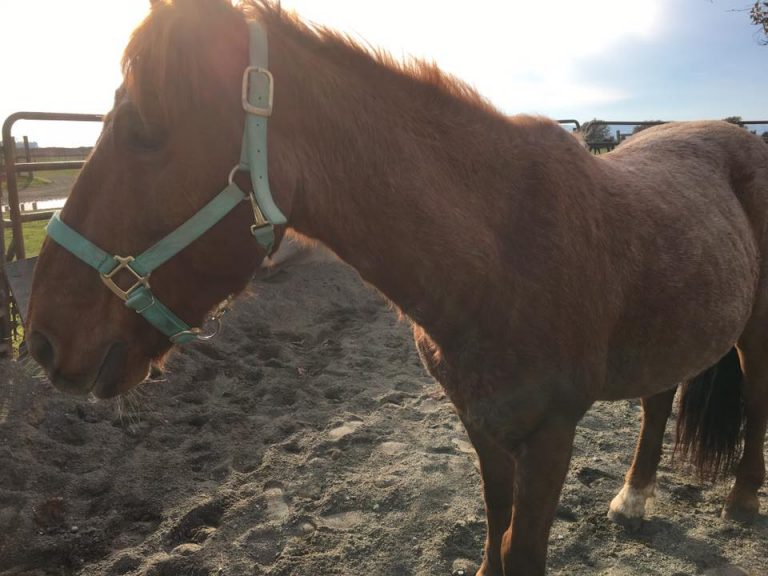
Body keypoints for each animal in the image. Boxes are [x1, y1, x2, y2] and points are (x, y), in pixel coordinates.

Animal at [25, 1, 768, 574]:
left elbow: (521, 548)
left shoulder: (551, 433)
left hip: (753, 329)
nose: (41, 340)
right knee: (658, 398)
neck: (503, 249)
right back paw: (635, 498)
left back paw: (740, 502)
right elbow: (494, 533)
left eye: (145, 130)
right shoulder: (482, 422)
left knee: (753, 401)